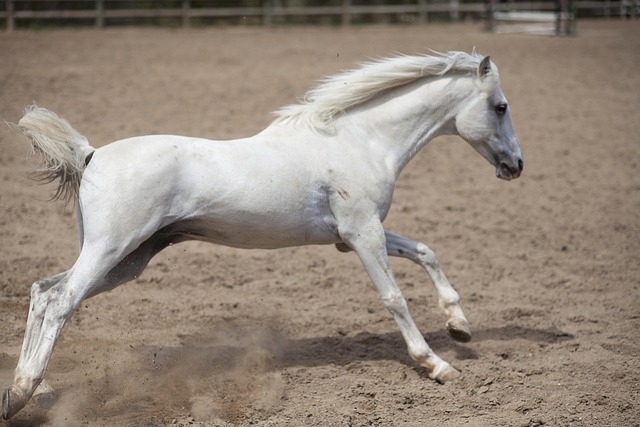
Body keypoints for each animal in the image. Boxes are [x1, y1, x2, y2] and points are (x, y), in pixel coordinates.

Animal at [2, 50, 522, 420]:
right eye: (500, 107)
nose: (516, 165)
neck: (359, 141)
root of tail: (91, 154)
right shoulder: (362, 233)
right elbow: (395, 297)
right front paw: (438, 365)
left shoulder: (357, 232)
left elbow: (426, 251)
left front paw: (460, 326)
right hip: (110, 251)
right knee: (60, 301)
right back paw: (23, 392)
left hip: (127, 261)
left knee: (43, 291)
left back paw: (31, 390)